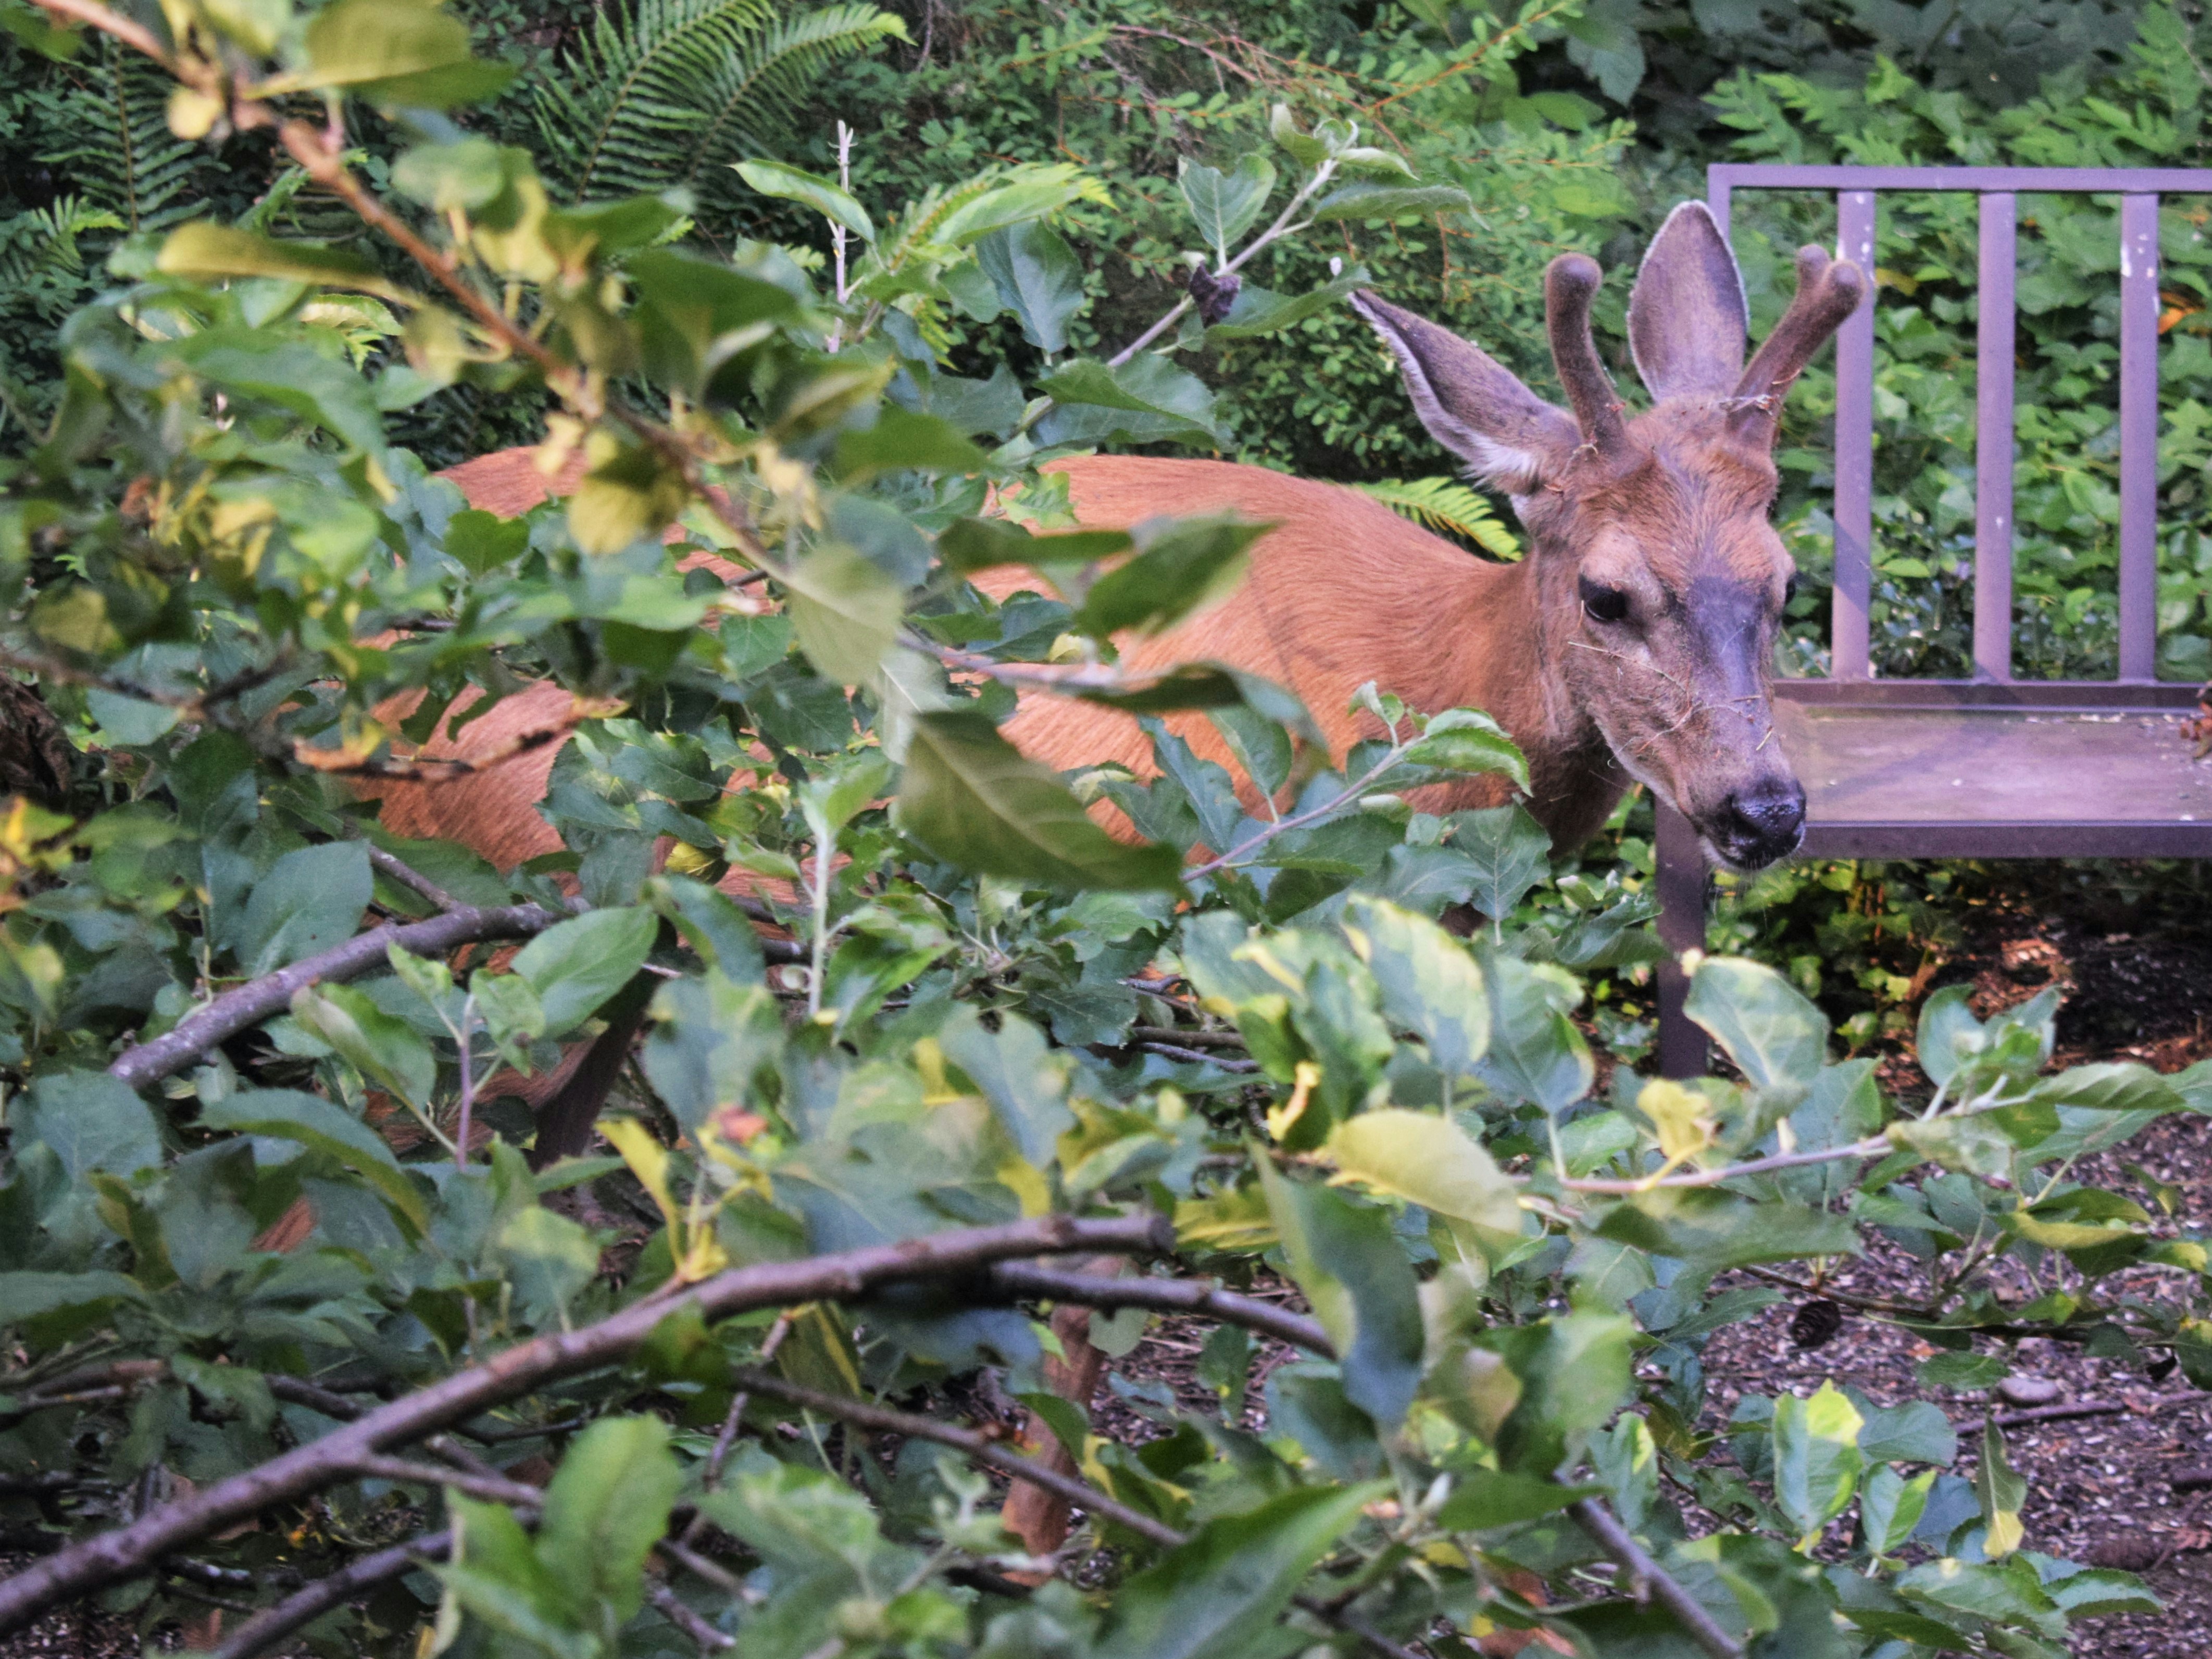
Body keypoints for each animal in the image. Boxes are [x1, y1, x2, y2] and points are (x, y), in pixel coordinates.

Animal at [351, 203, 1861, 1629]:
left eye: (1783, 585)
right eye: (1607, 593)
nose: (1761, 808)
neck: (1417, 684)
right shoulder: (1146, 966)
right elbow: (1090, 1318)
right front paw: (1027, 1563)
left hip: (613, 952)